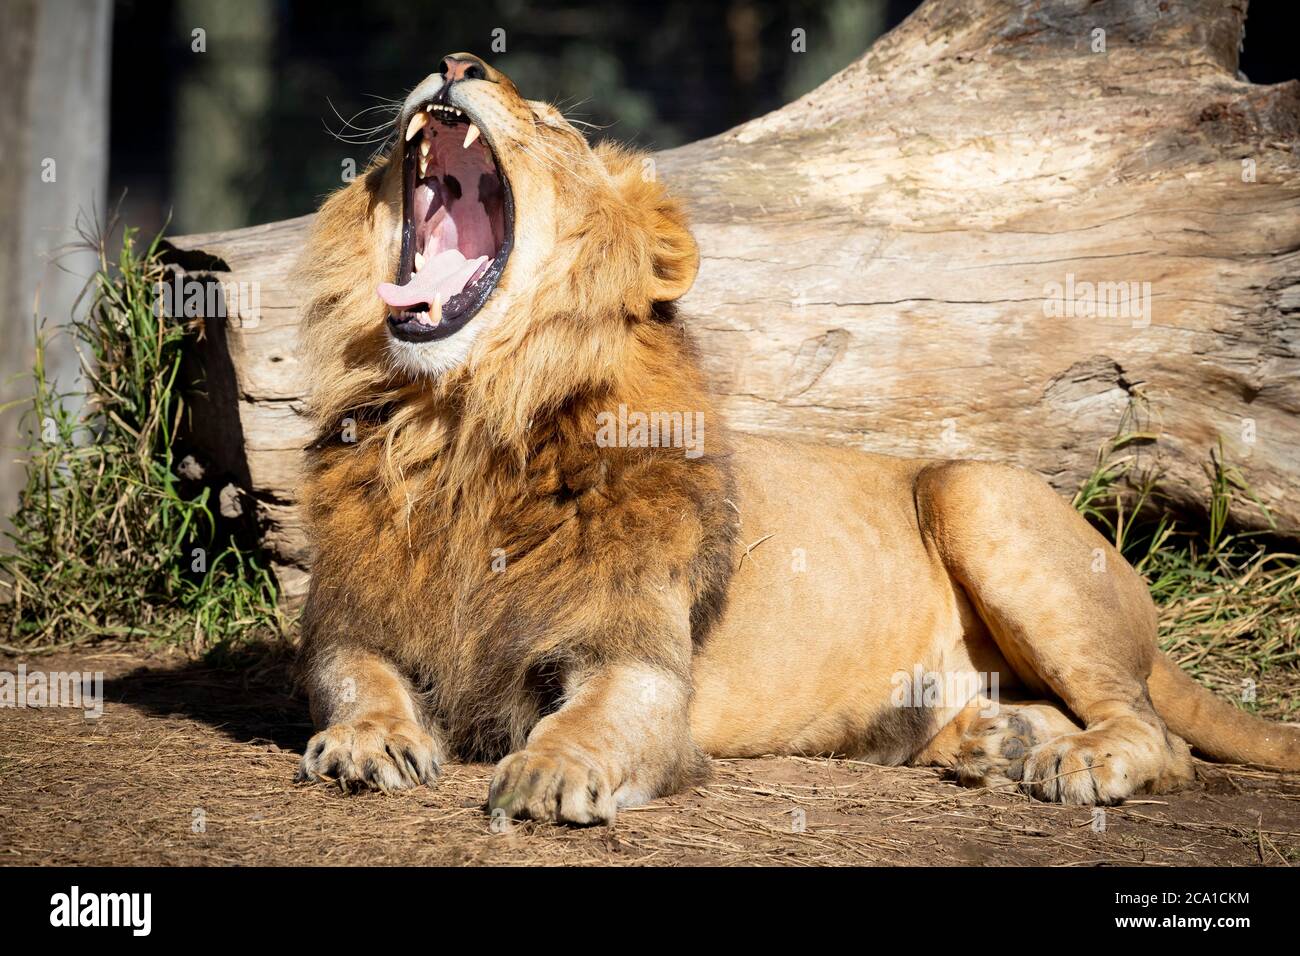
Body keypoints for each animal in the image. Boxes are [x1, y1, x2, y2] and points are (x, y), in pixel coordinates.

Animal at [294, 53, 1300, 823]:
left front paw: (549, 770)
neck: (462, 426)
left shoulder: (636, 660)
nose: (461, 62)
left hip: (975, 492)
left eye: (552, 126)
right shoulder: (347, 619)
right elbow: (355, 677)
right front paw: (369, 741)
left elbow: (590, 721)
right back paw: (997, 739)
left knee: (1157, 733)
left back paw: (1078, 760)